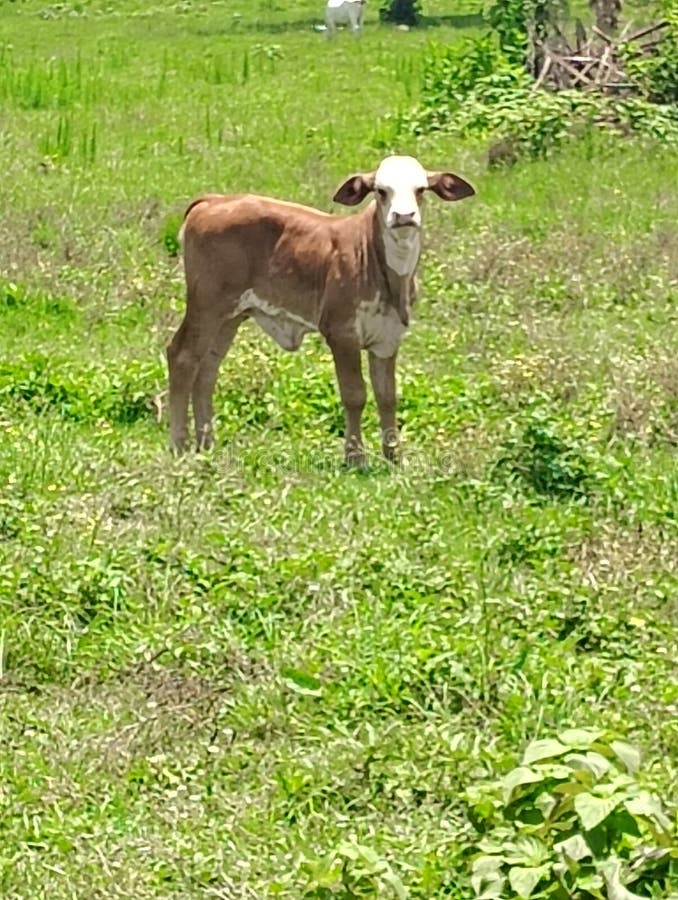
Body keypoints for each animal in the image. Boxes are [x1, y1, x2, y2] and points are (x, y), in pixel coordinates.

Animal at [166, 155, 475, 466]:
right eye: (381, 191)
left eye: (420, 189)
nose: (404, 216)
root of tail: (212, 201)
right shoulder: (342, 335)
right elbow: (355, 395)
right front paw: (355, 456)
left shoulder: (387, 338)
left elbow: (387, 396)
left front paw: (393, 456)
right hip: (206, 305)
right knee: (182, 357)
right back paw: (179, 444)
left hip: (229, 316)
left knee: (207, 367)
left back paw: (206, 443)